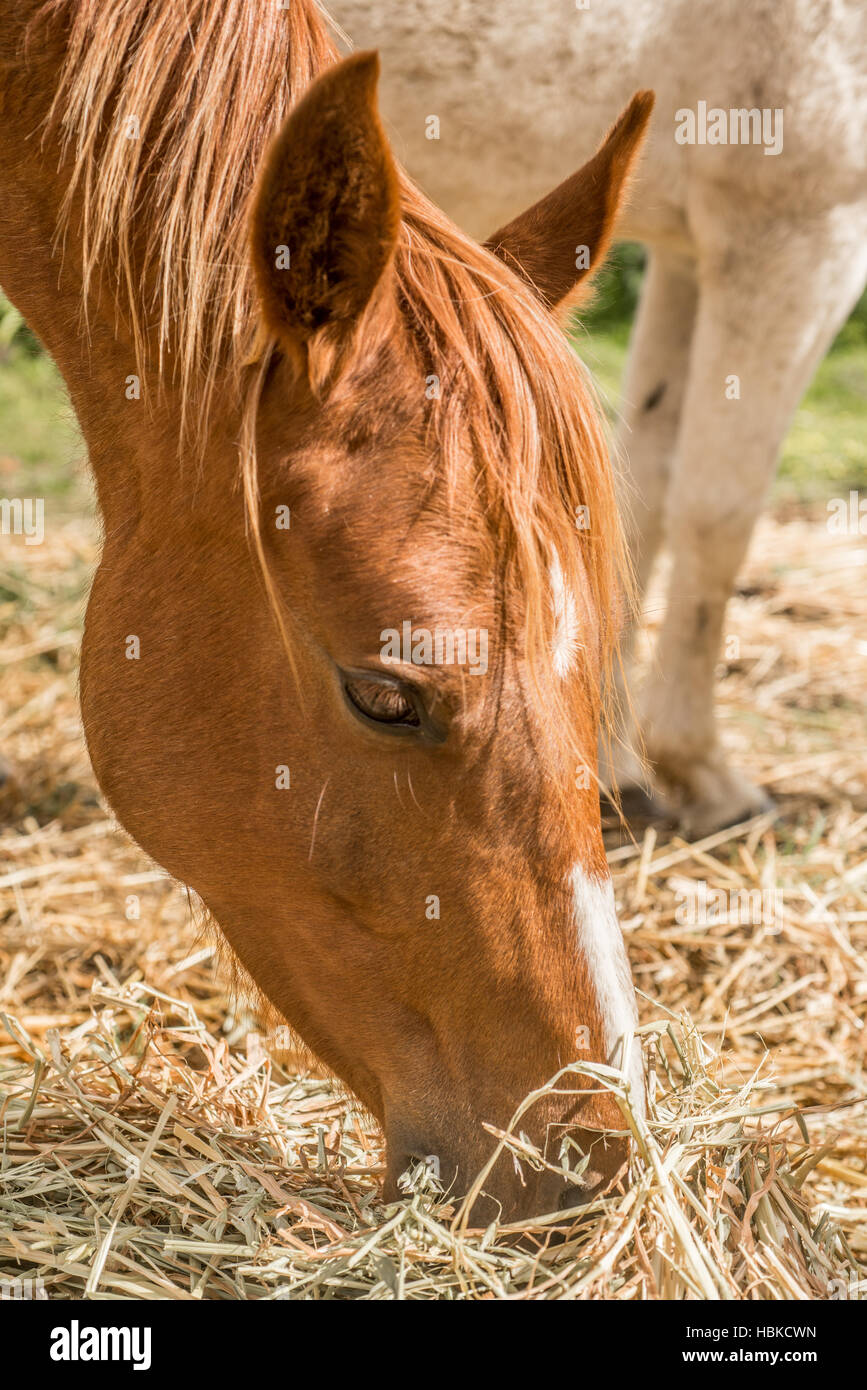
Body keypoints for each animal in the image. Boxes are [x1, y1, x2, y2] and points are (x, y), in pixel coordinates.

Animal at [328, 0, 867, 836]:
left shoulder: (686, 257)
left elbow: (636, 500)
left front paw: (613, 764)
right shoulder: (796, 224)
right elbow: (718, 514)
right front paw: (700, 773)